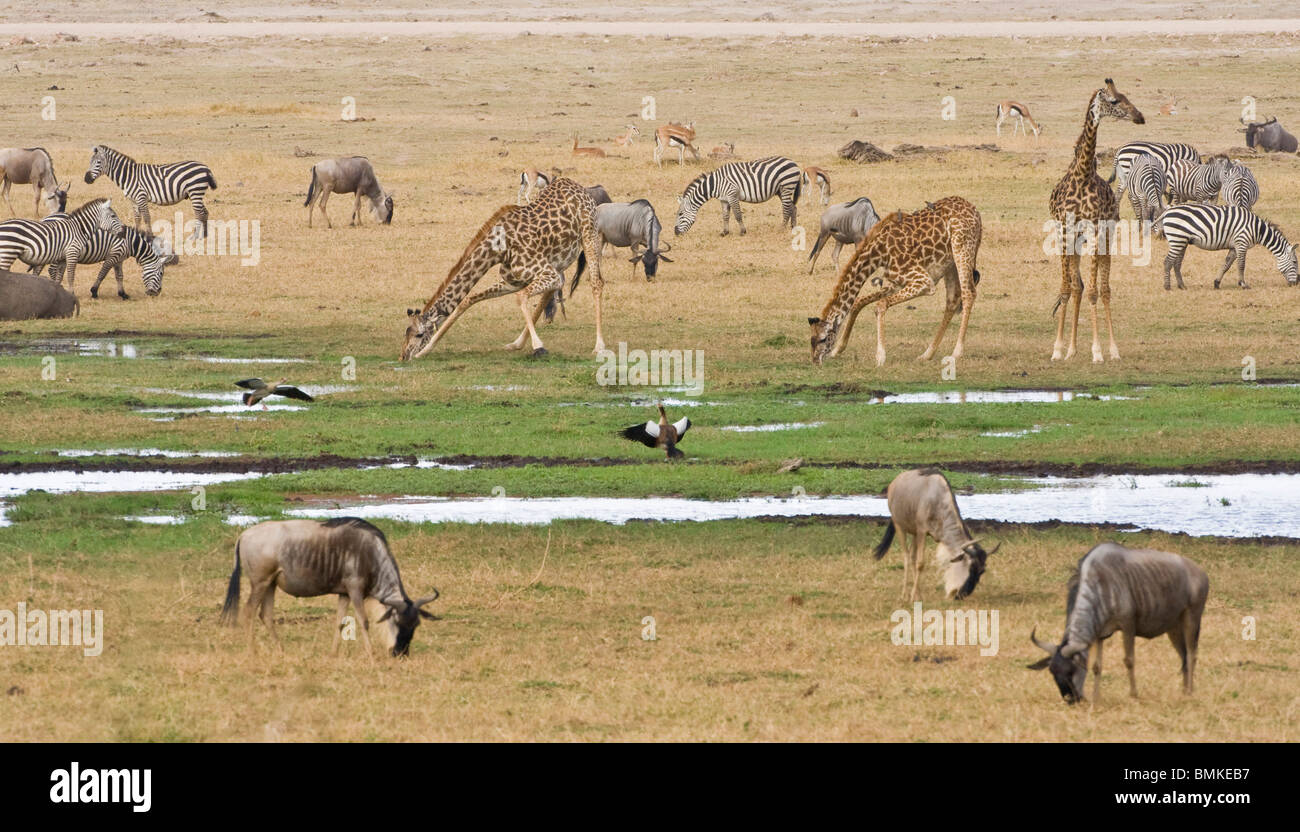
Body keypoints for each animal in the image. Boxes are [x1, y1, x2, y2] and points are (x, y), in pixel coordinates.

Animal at [83, 145, 217, 239]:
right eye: (90, 162)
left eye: (98, 162)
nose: (86, 179)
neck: (129, 176)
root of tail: (206, 168)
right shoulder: (133, 200)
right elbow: (137, 218)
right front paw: (136, 236)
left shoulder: (141, 197)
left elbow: (147, 217)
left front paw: (150, 237)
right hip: (196, 193)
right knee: (204, 212)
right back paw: (205, 236)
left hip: (195, 191)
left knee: (199, 213)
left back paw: (195, 236)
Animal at [399, 178, 605, 361]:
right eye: (406, 332)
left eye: (418, 334)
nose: (403, 356)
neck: (499, 248)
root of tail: (577, 186)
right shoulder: (514, 281)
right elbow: (467, 300)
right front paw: (425, 351)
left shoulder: (547, 273)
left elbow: (521, 297)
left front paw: (538, 346)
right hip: (559, 260)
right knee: (551, 292)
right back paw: (516, 343)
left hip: (589, 234)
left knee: (597, 283)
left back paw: (599, 346)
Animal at [808, 196, 982, 367]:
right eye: (811, 339)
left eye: (823, 338)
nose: (815, 360)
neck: (878, 253)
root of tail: (976, 212)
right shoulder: (897, 282)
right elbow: (858, 301)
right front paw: (838, 349)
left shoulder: (923, 281)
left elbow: (880, 305)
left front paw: (880, 356)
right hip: (950, 264)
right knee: (952, 300)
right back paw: (927, 354)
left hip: (962, 248)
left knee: (968, 293)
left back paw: (956, 352)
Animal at [1049, 78, 1145, 363]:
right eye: (1114, 100)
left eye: (1126, 96)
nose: (1140, 116)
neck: (1081, 176)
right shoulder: (1064, 231)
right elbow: (1067, 289)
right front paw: (1058, 349)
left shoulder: (1093, 230)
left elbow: (1093, 291)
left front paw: (1097, 351)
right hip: (1078, 242)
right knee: (1078, 287)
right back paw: (1071, 349)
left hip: (1106, 237)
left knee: (1104, 289)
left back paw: (1112, 349)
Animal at [1158, 203, 1298, 290]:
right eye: (1295, 262)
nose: (1297, 282)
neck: (1257, 230)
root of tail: (1168, 210)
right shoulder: (1241, 243)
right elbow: (1241, 265)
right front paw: (1243, 284)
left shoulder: (1234, 247)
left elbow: (1227, 265)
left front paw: (1216, 283)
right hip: (1177, 239)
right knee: (1167, 261)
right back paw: (1167, 286)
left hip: (1182, 241)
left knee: (1176, 263)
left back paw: (1182, 286)